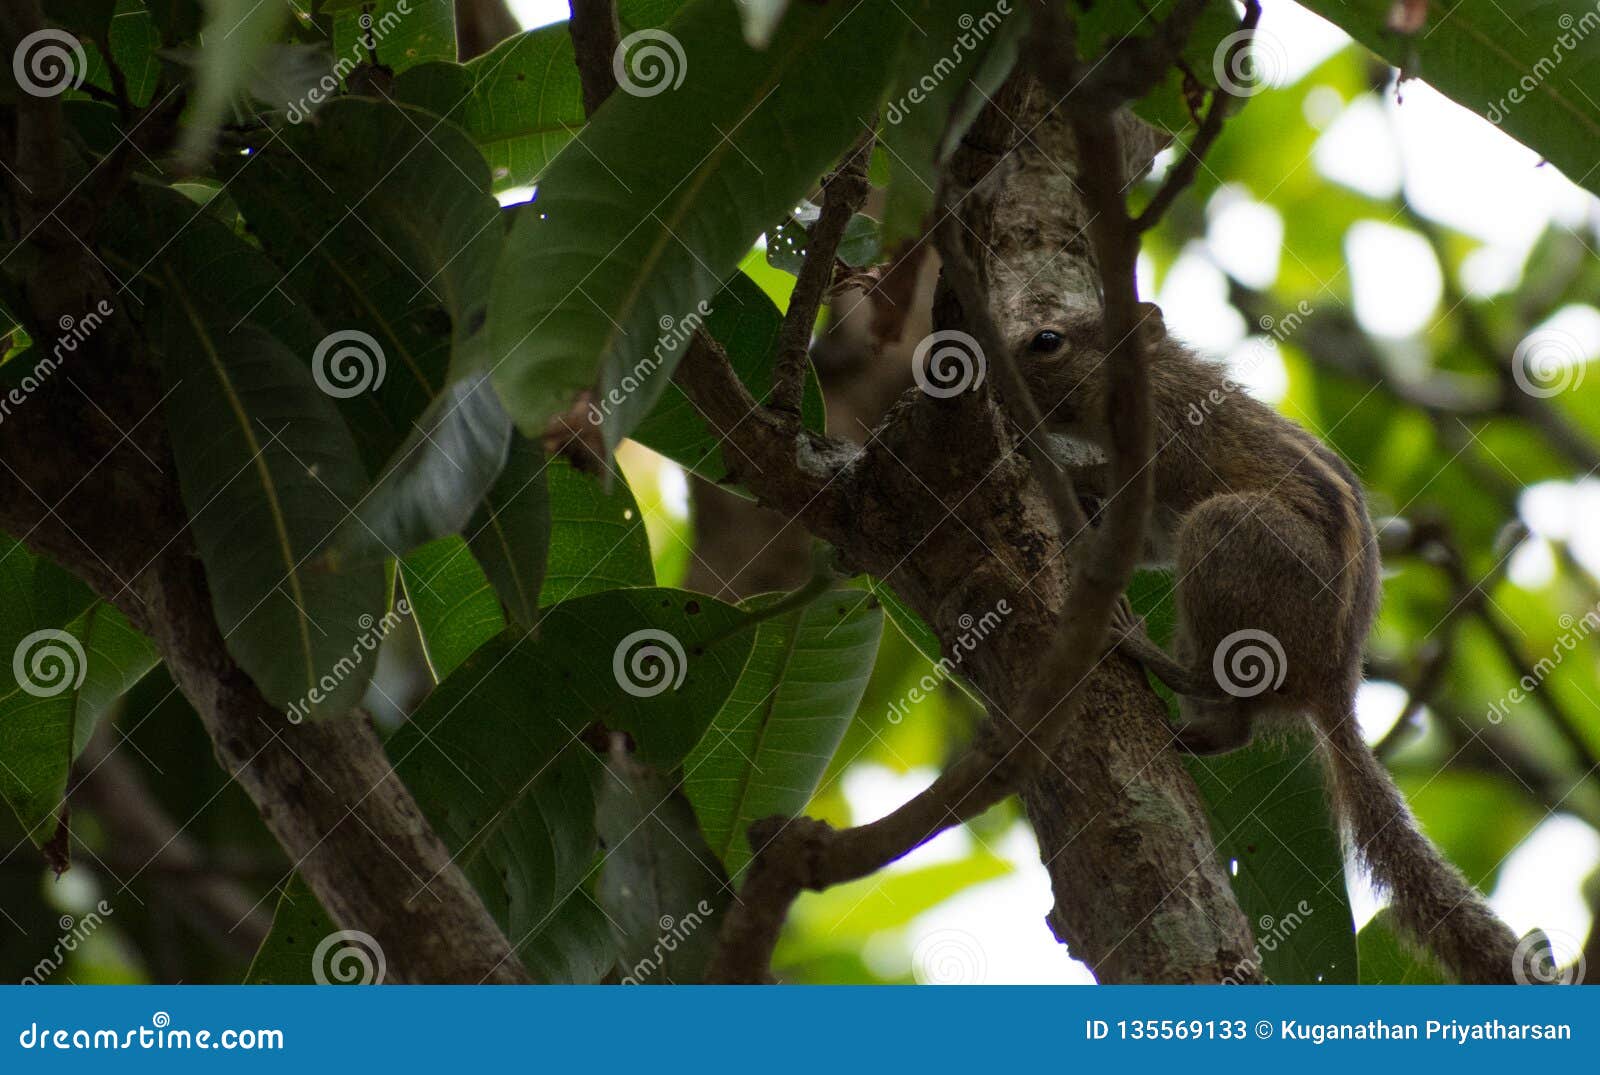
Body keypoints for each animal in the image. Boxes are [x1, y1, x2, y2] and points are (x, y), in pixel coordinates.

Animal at [1021, 303, 1521, 984]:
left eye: (1048, 341)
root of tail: (1333, 684)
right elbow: (1139, 538)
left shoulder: (1168, 438)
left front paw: (1042, 459)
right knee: (1235, 726)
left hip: (1226, 538)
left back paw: (1133, 642)